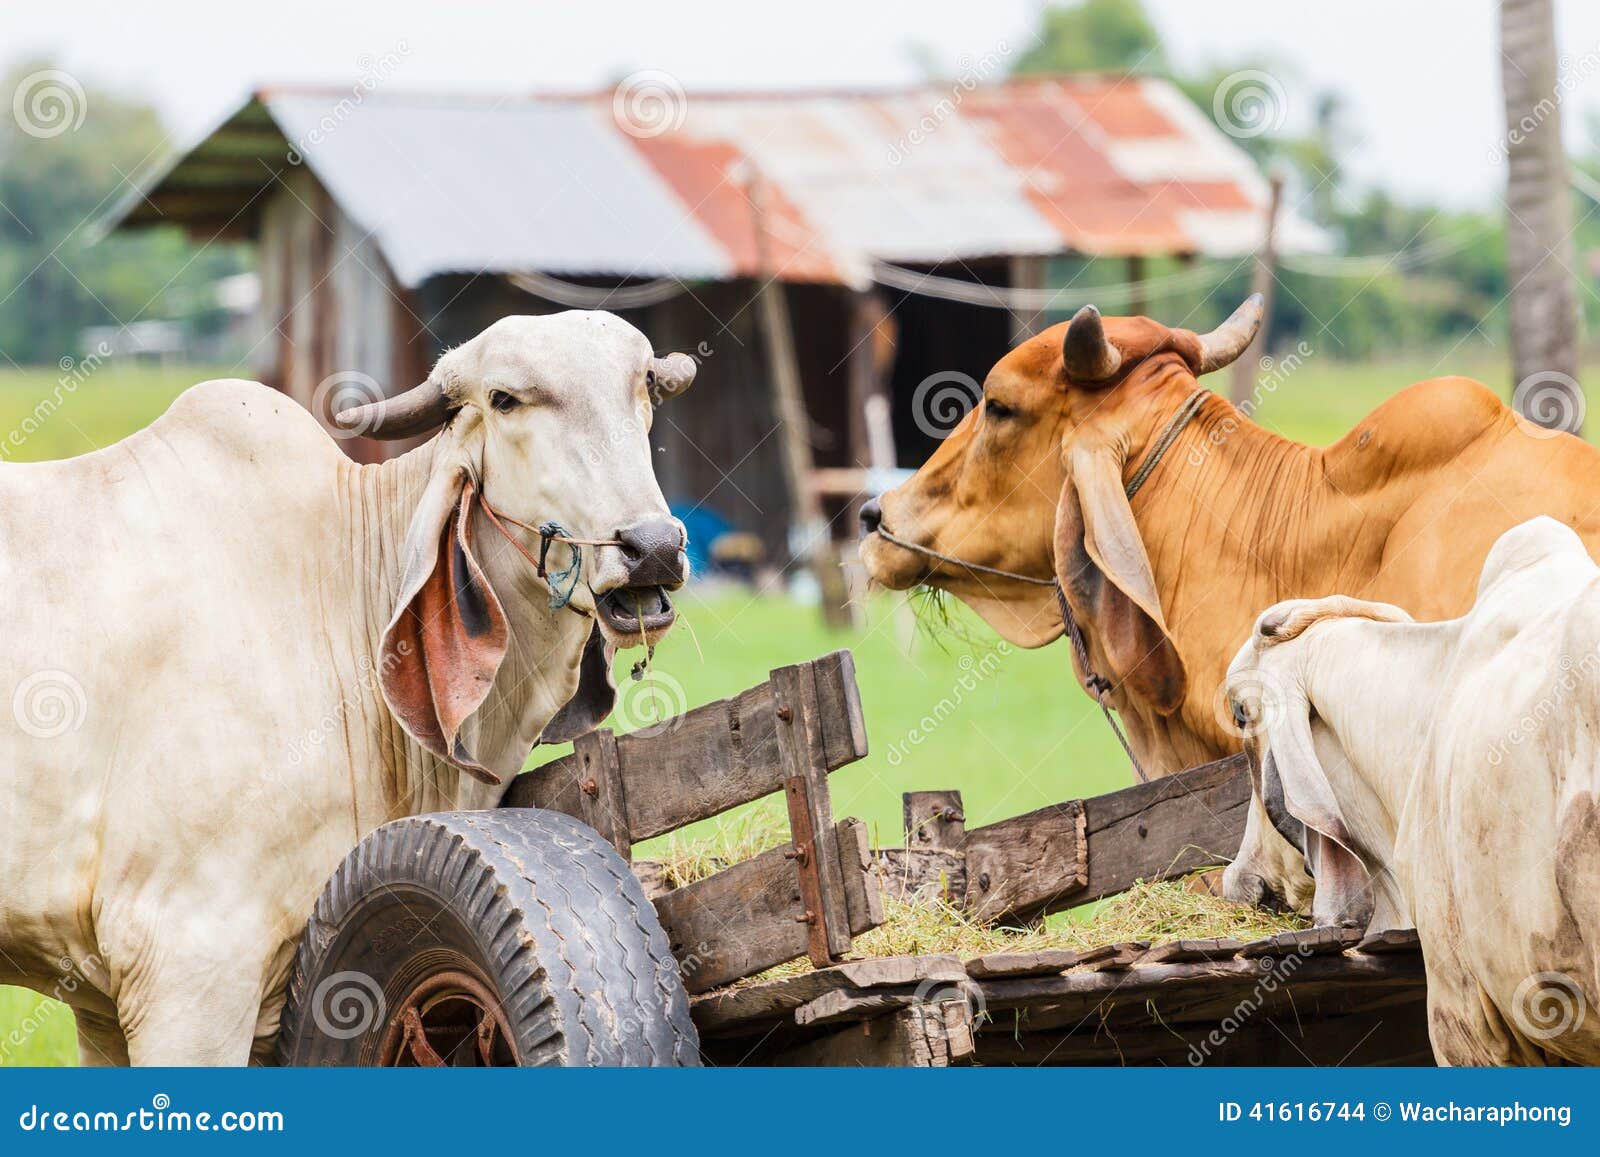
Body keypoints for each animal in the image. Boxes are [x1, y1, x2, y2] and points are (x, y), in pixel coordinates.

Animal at [0, 311, 695, 1065]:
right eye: (505, 399)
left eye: (646, 387)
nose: (651, 547)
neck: (336, 584)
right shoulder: (187, 958)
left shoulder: (106, 1005)